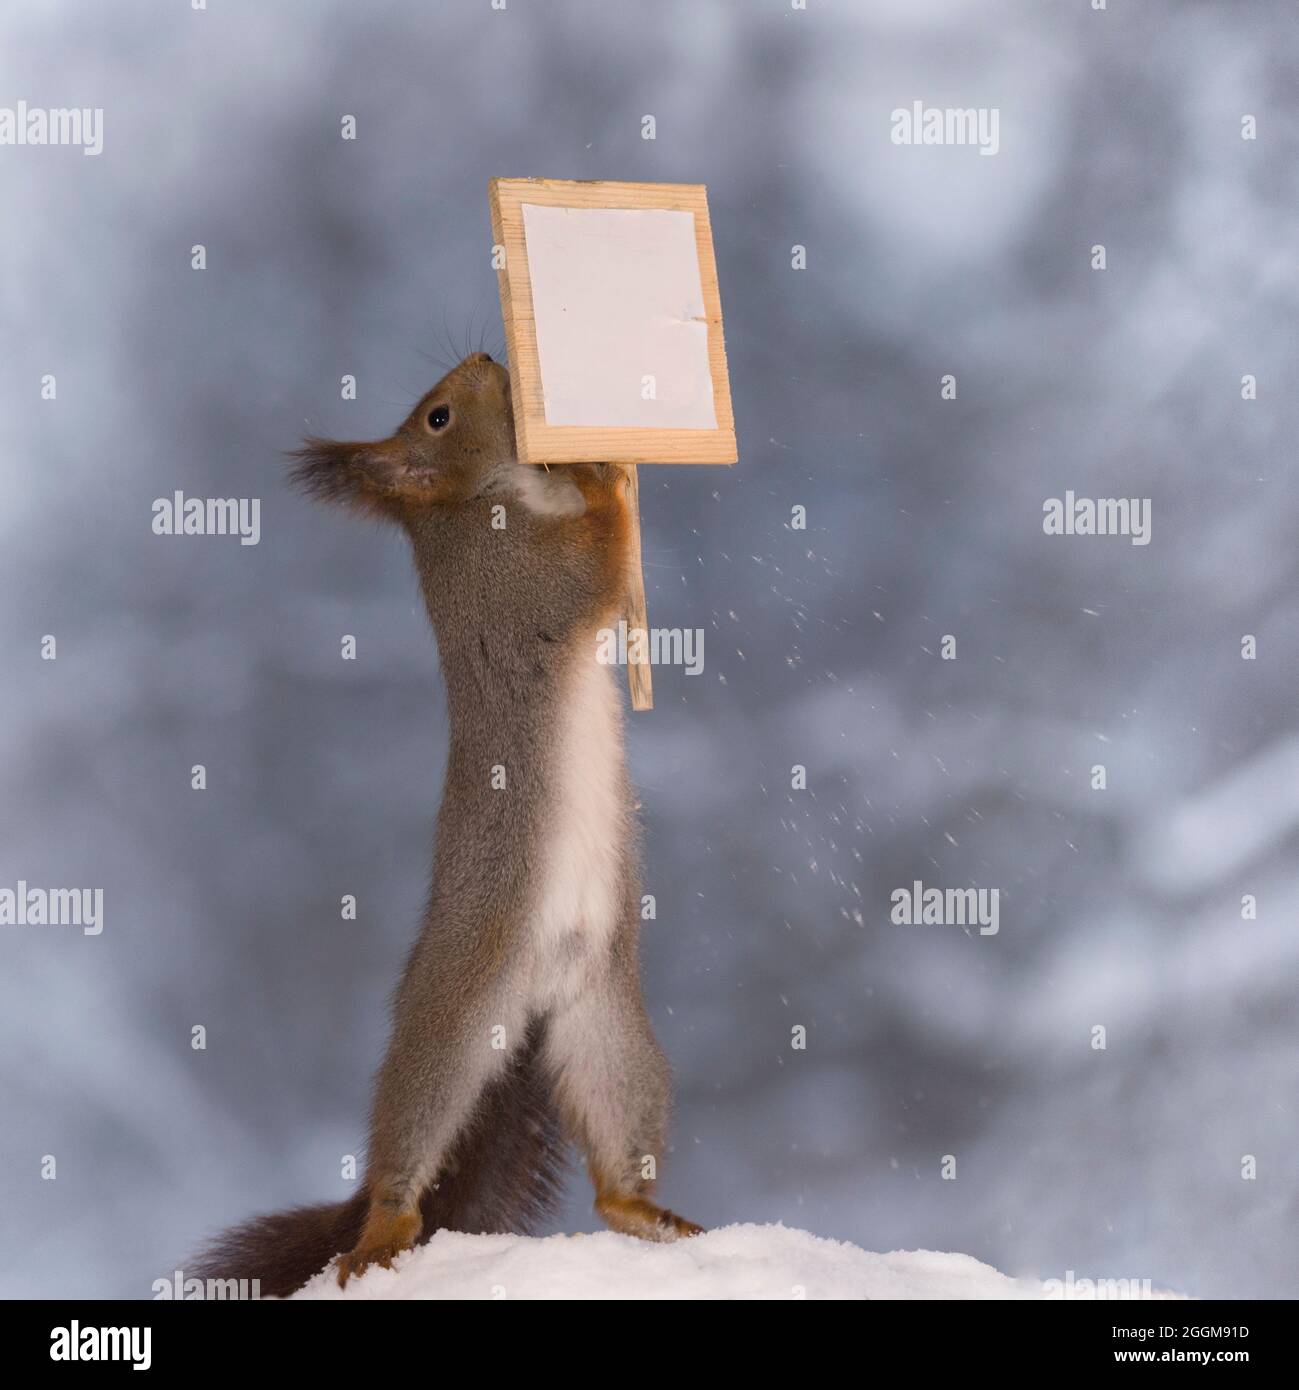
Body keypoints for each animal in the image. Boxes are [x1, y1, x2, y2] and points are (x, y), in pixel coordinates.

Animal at [195, 352, 702, 1297]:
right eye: (436, 417)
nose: (486, 360)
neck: (479, 501)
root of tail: (531, 1005)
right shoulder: (516, 576)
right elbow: (592, 569)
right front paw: (601, 473)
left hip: (608, 1030)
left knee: (613, 1171)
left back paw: (648, 1211)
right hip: (452, 1023)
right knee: (407, 1146)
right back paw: (381, 1232)